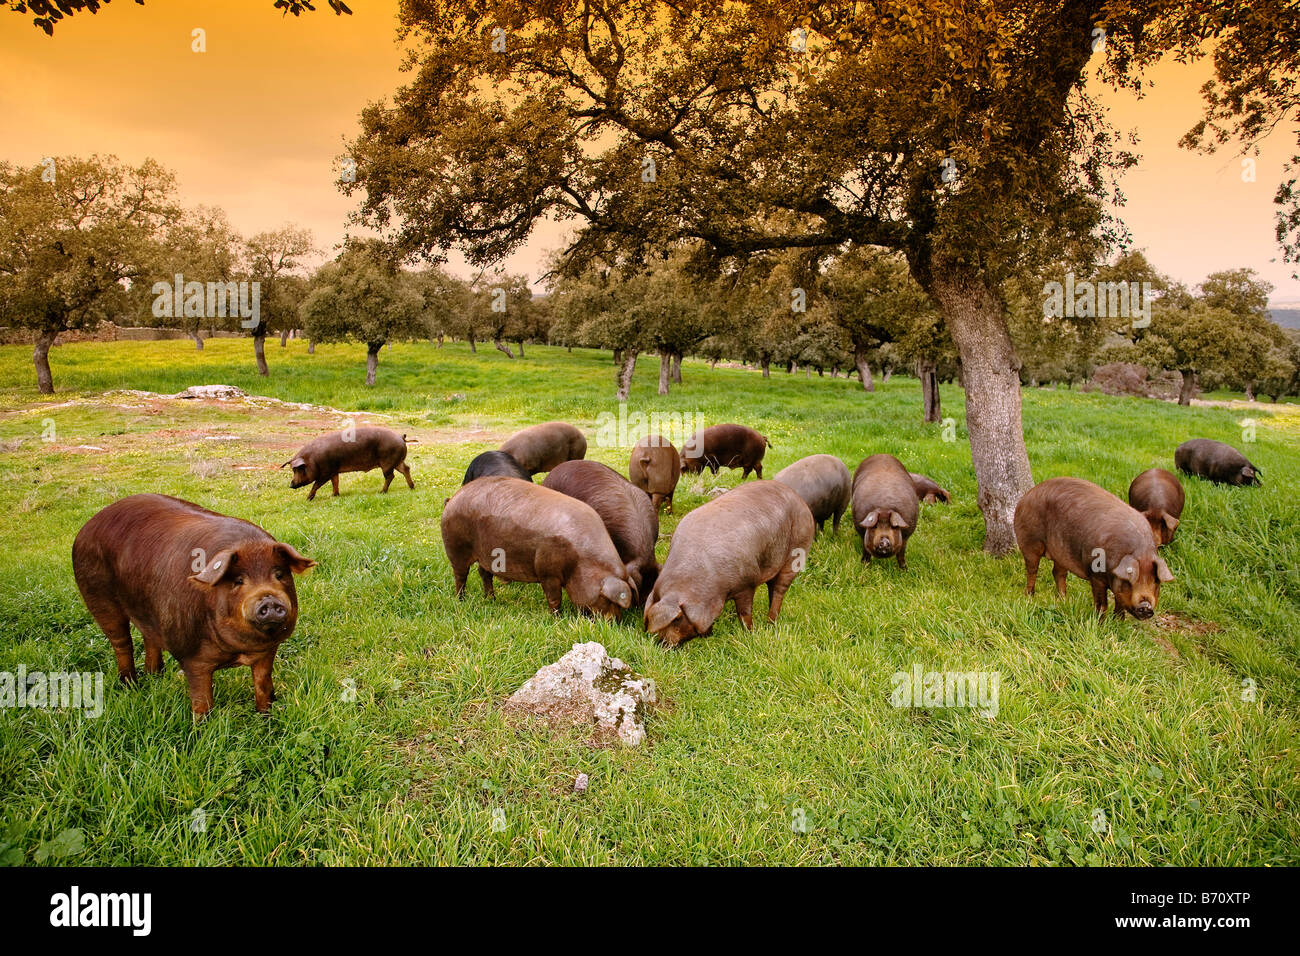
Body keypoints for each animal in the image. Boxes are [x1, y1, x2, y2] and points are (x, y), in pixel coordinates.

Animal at [72, 494, 315, 715]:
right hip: (99, 597)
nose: (269, 599)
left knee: (149, 637)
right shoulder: (192, 658)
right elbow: (202, 700)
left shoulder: (267, 651)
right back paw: (130, 685)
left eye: (279, 574)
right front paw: (201, 727)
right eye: (238, 581)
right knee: (122, 642)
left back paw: (156, 675)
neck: (240, 651)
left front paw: (266, 716)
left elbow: (263, 685)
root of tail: (89, 524)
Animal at [282, 426, 414, 500]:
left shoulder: (326, 472)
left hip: (387, 462)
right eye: (293, 469)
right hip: (397, 461)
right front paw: (334, 495)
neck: (312, 459)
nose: (291, 485)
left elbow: (316, 484)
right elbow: (335, 482)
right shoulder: (334, 471)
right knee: (406, 469)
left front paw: (308, 498)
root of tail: (401, 437)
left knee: (391, 476)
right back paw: (411, 487)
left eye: (298, 469)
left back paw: (381, 492)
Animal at [440, 476, 635, 617]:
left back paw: (491, 599)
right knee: (460, 576)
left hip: (485, 555)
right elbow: (554, 597)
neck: (582, 560)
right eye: (606, 600)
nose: (615, 622)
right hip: (455, 548)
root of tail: (452, 499)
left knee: (484, 573)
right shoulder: (547, 572)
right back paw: (461, 600)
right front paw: (556, 618)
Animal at [644, 481, 814, 646]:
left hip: (797, 549)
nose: (661, 644)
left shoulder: (747, 583)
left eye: (677, 620)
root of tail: (800, 500)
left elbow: (745, 612)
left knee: (780, 589)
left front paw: (750, 633)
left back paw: (770, 623)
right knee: (773, 588)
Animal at [1014, 477, 1174, 619]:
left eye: (1156, 581)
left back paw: (1064, 600)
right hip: (1030, 541)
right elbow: (1102, 603)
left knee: (1058, 573)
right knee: (1032, 570)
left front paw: (1118, 622)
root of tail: (1026, 496)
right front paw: (1100, 622)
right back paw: (1029, 597)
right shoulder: (1095, 575)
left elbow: (1119, 604)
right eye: (1131, 580)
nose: (1146, 606)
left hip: (1061, 552)